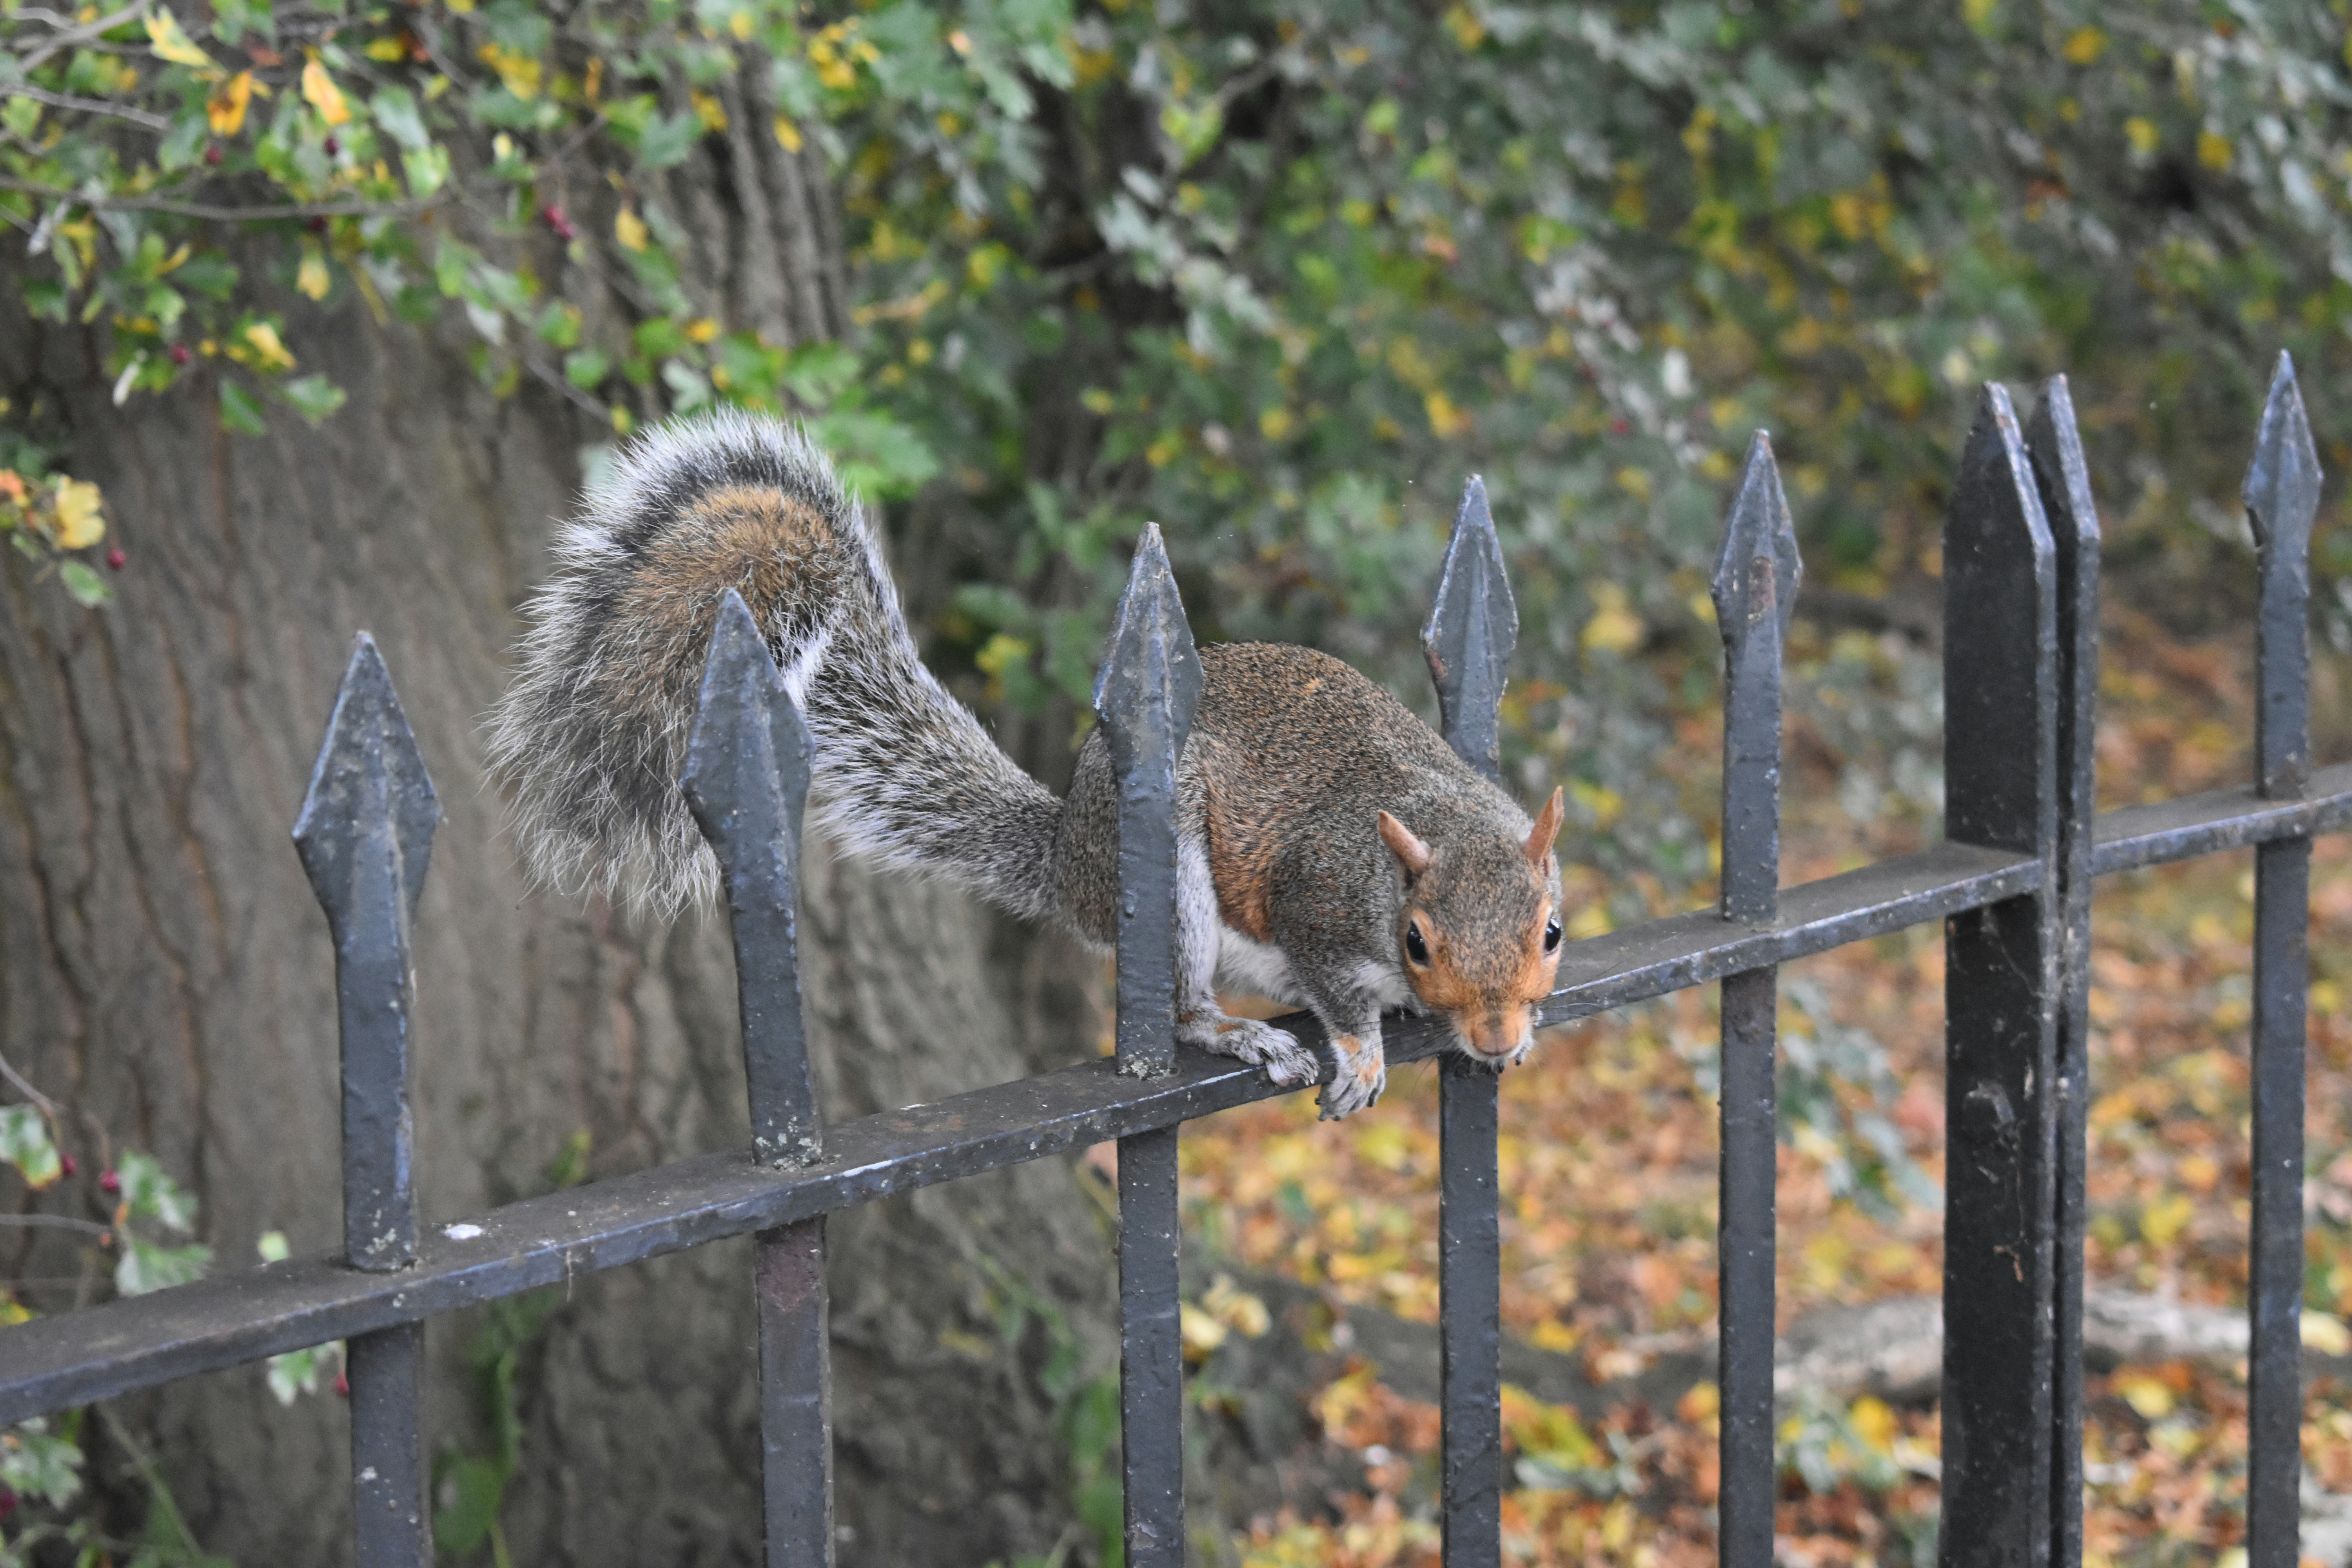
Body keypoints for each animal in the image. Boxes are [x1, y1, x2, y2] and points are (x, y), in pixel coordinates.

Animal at [485, 409, 1566, 1120]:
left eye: (1553, 930)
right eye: (1417, 940)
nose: (1496, 1037)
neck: (1437, 825)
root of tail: (1069, 856)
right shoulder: (1320, 899)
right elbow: (1341, 994)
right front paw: (1363, 1056)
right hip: (1167, 882)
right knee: (1181, 1003)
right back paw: (1234, 1028)